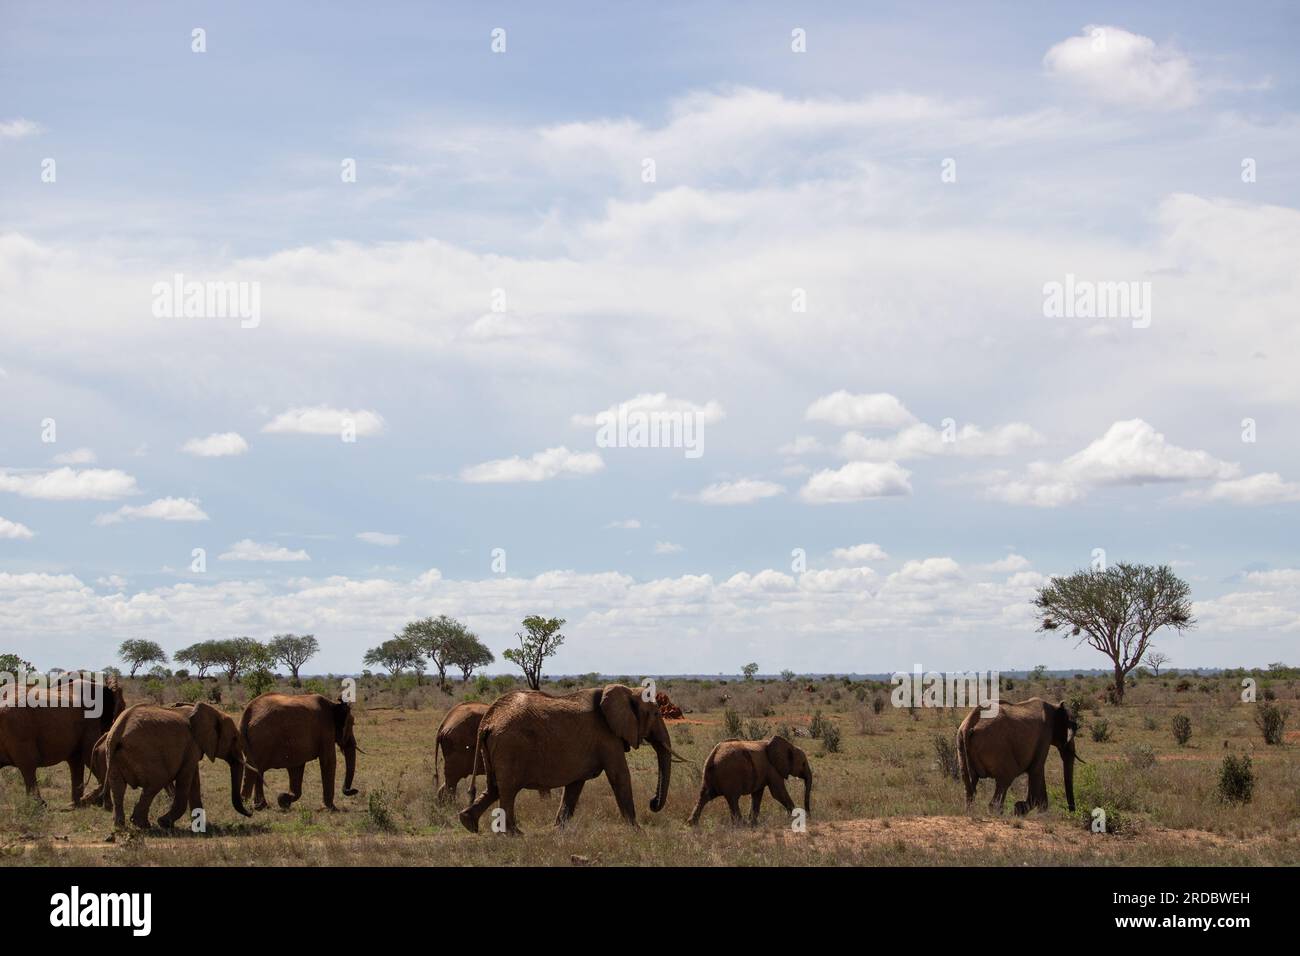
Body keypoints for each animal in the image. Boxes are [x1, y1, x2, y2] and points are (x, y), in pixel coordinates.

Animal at [0, 676, 125, 804]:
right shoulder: (90, 721)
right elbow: (89, 754)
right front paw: (93, 801)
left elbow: (77, 761)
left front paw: (79, 803)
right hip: (19, 730)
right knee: (28, 765)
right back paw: (40, 805)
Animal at [104, 701, 253, 829]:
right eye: (234, 738)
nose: (250, 813)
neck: (213, 712)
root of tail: (117, 732)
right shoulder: (192, 745)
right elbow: (185, 781)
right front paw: (164, 823)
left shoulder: (193, 748)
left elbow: (194, 782)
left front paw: (201, 826)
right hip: (144, 752)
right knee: (155, 783)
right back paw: (143, 825)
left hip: (113, 755)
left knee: (118, 787)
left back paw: (119, 826)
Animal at [459, 684, 678, 834]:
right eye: (656, 713)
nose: (652, 802)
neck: (625, 691)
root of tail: (487, 722)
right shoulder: (607, 738)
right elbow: (620, 776)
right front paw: (637, 831)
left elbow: (574, 786)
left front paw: (557, 830)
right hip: (510, 746)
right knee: (508, 790)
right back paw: (513, 834)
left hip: (495, 749)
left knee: (494, 787)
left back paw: (468, 822)